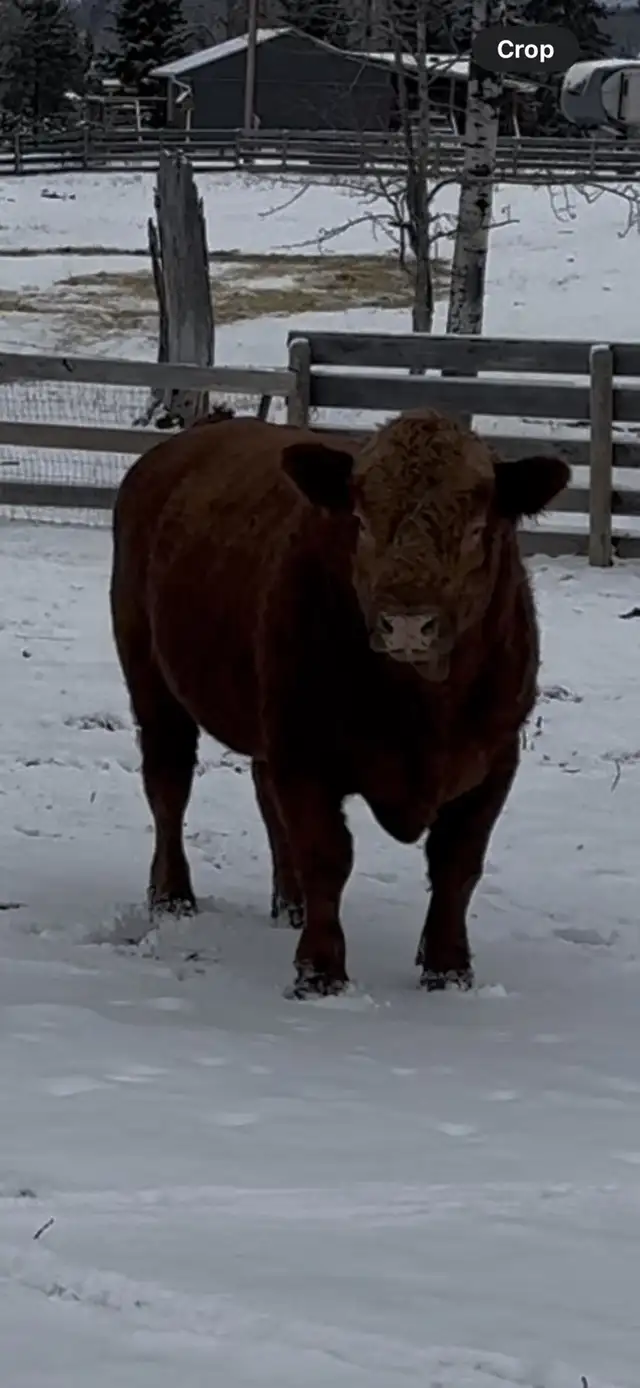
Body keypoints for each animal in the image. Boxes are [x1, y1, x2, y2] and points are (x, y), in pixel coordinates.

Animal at [110, 407, 569, 997]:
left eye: (474, 529)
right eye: (363, 522)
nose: (407, 624)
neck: (423, 711)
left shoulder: (494, 758)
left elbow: (457, 862)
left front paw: (448, 968)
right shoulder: (305, 752)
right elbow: (326, 855)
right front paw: (320, 972)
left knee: (263, 798)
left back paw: (290, 906)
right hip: (153, 684)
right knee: (168, 787)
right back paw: (172, 896)